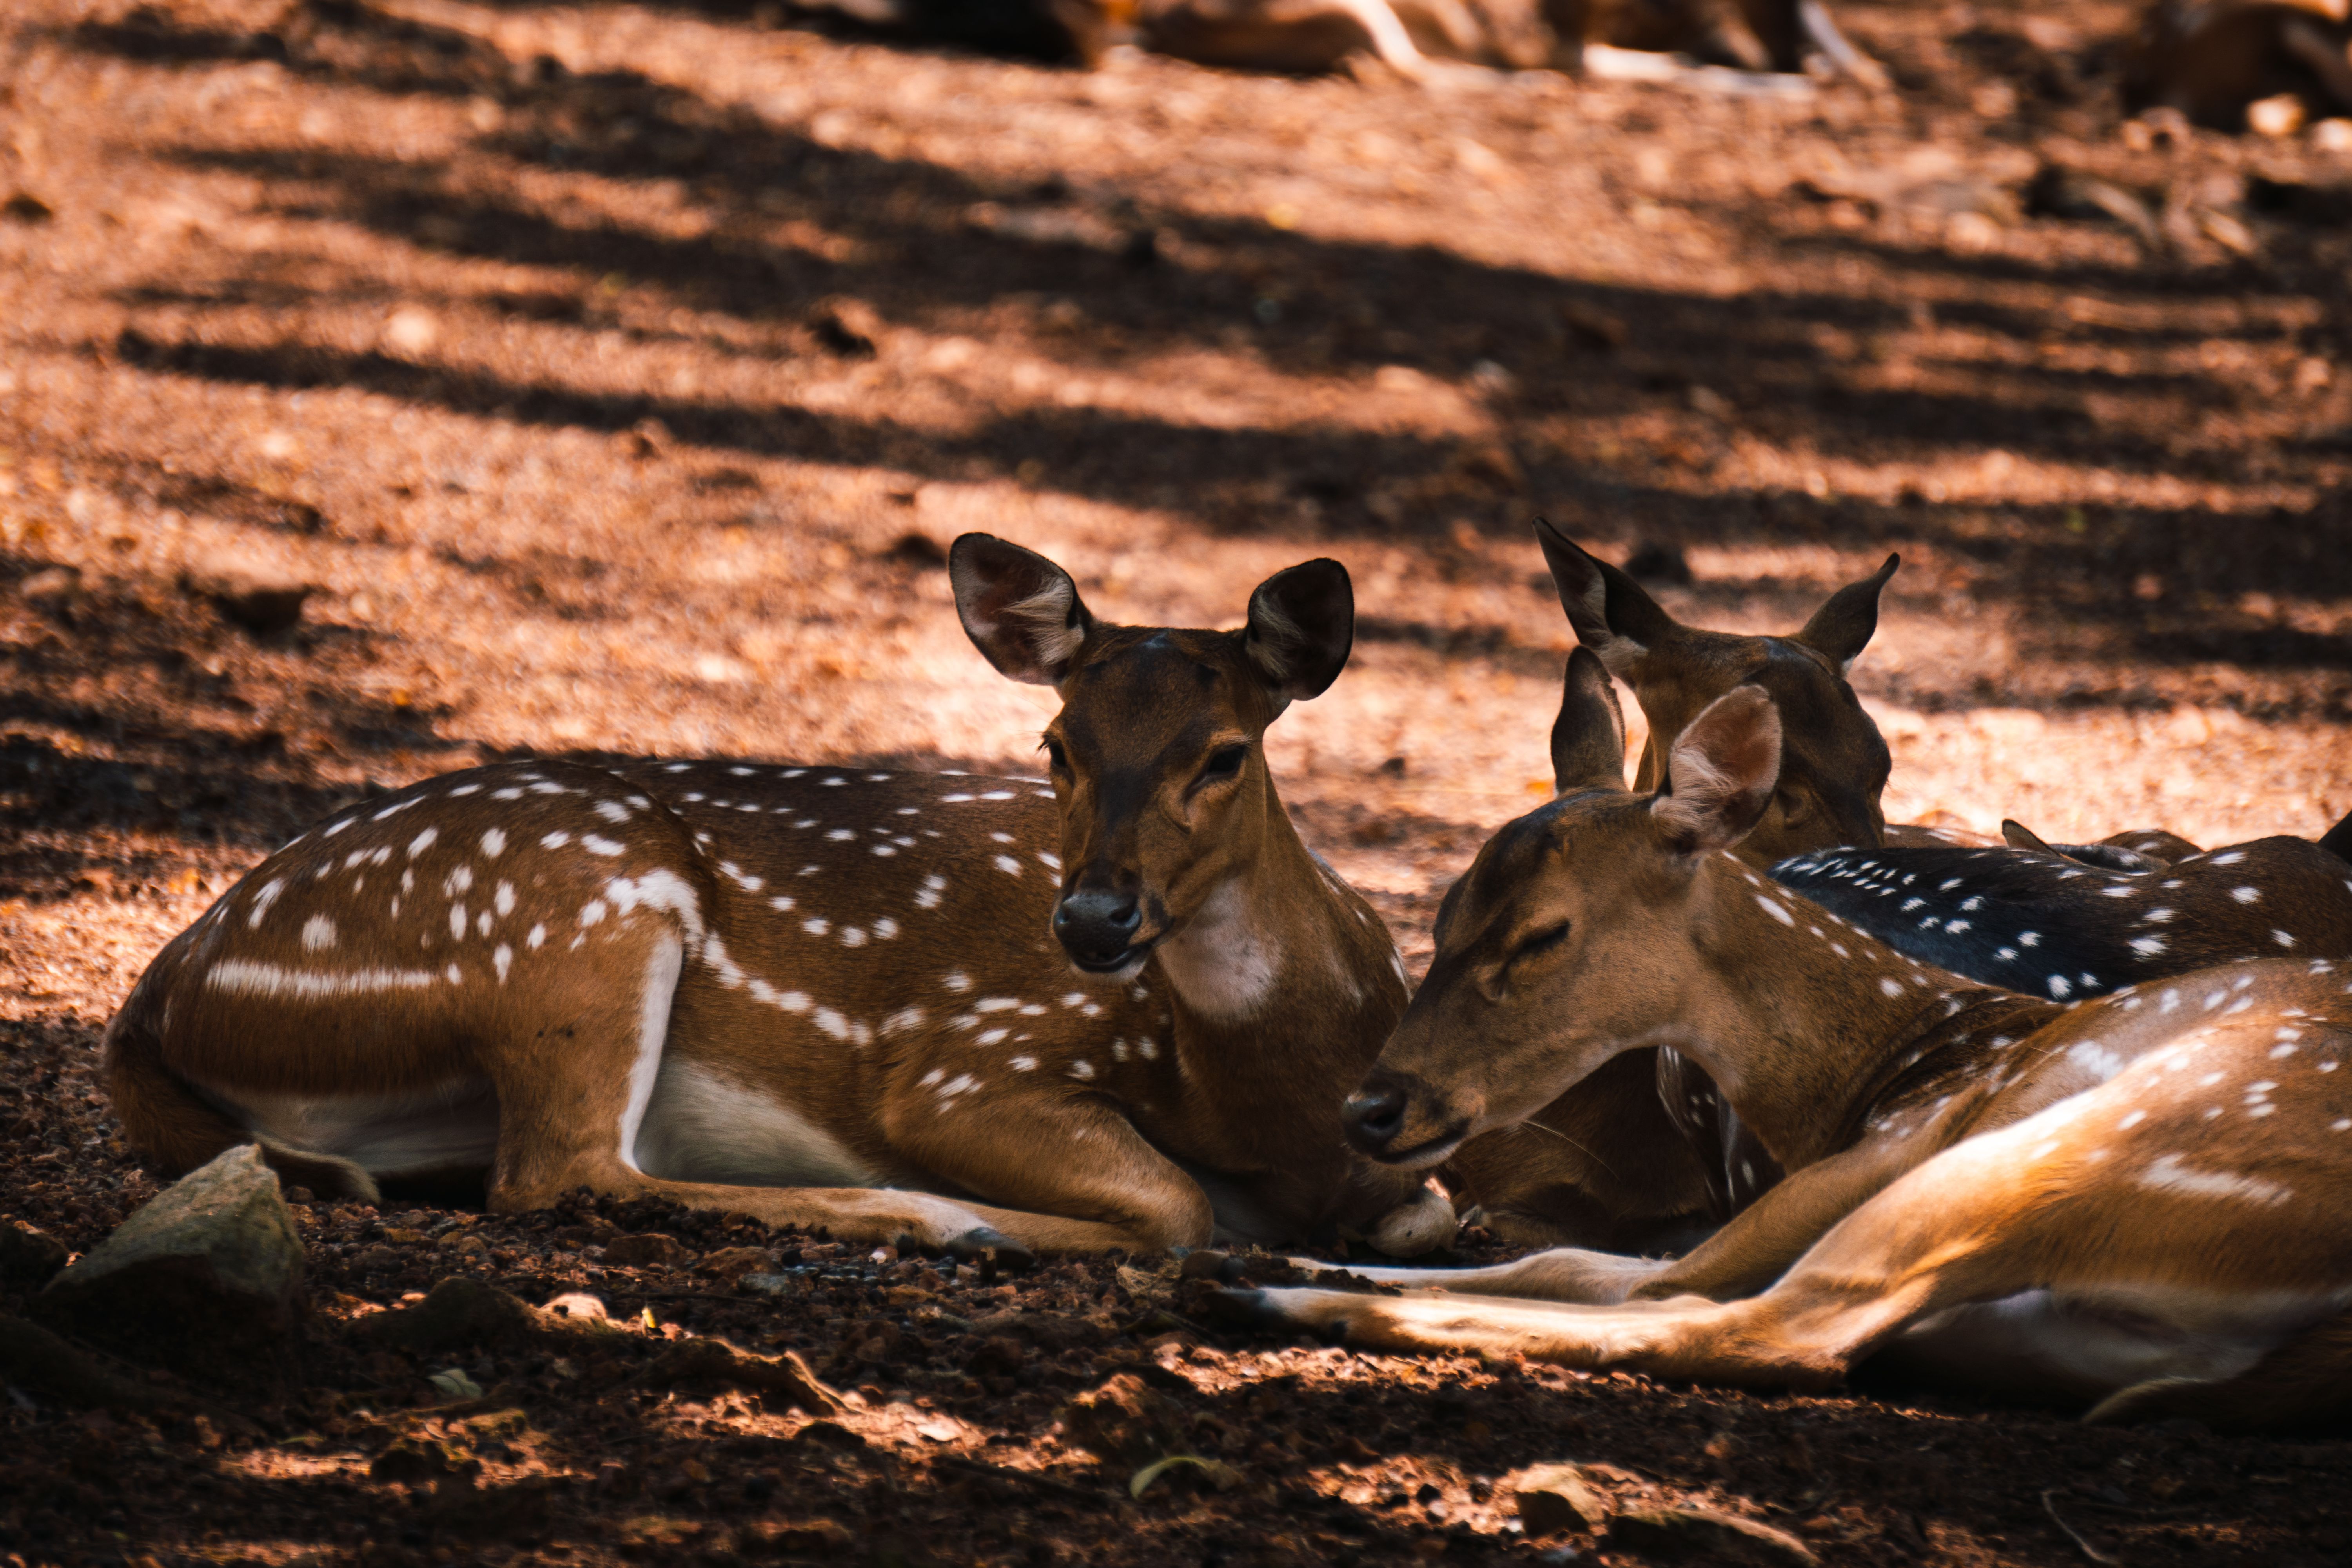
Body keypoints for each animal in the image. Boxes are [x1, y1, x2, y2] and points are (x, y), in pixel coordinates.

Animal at [103, 535, 1458, 1261]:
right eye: (1055, 743)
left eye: (1222, 753)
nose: (1091, 921)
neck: (1277, 1102)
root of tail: (159, 996)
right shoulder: (963, 1062)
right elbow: (1176, 1205)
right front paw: (999, 1213)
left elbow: (1425, 1215)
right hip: (574, 904)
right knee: (566, 1168)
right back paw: (923, 1213)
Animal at [1224, 675, 2352, 1430]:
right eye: (1443, 913)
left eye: (1543, 932)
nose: (1372, 1108)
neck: (1883, 1061)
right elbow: (1573, 1259)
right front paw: (1276, 1249)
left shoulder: (1873, 1153)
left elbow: (1603, 1269)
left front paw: (1276, 1266)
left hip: (2050, 1156)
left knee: (1754, 1323)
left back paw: (1281, 1299)